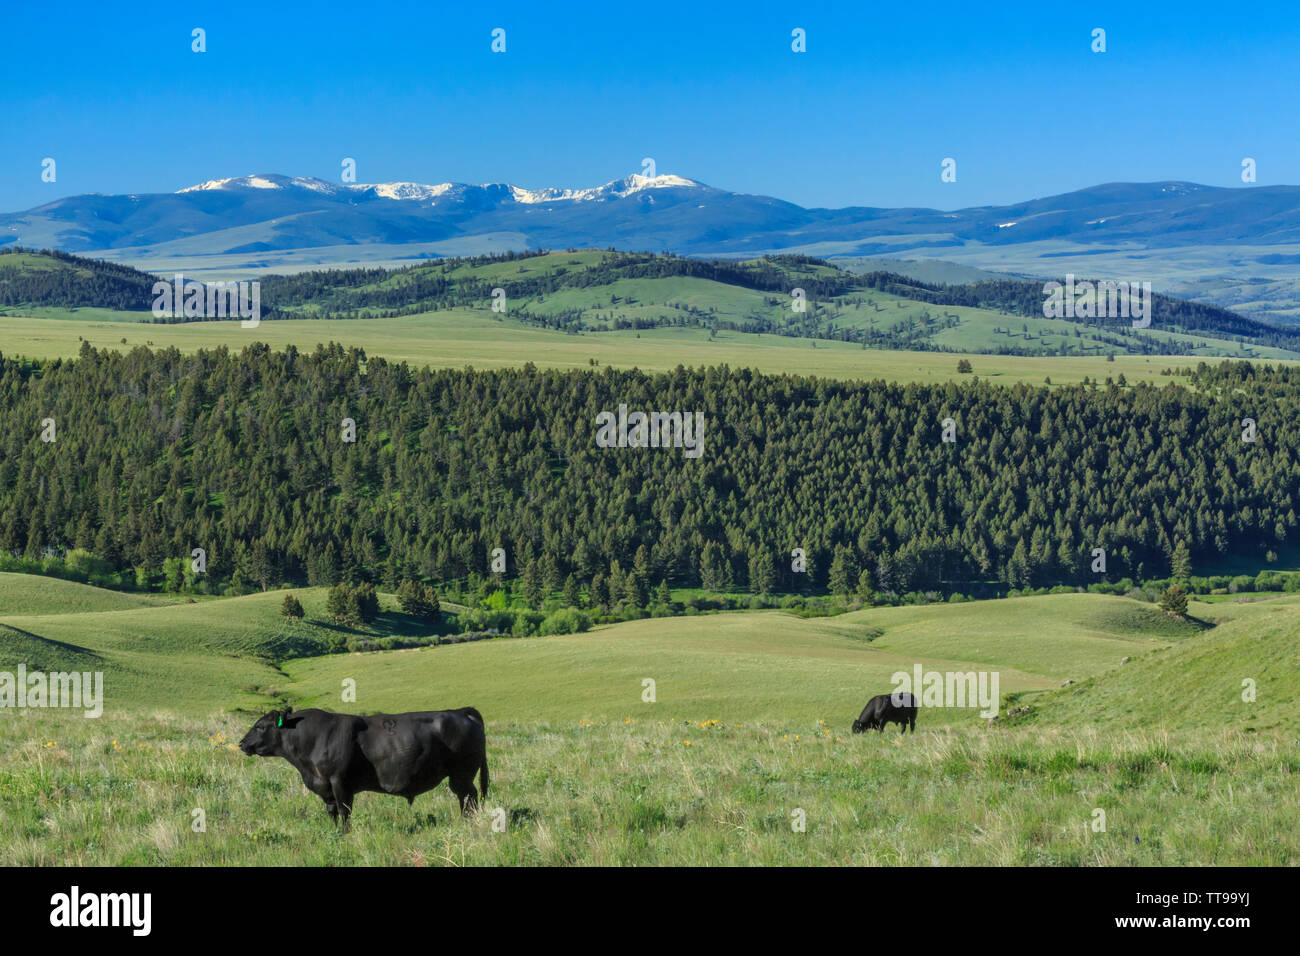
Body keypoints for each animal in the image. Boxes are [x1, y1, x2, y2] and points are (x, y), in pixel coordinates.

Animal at [239, 705, 489, 829]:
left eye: (260, 726)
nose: (241, 743)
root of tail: (460, 711)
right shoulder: (326, 787)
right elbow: (332, 812)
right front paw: (335, 834)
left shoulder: (340, 782)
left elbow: (344, 811)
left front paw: (345, 834)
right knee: (468, 798)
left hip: (461, 774)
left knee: (469, 797)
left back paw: (467, 823)